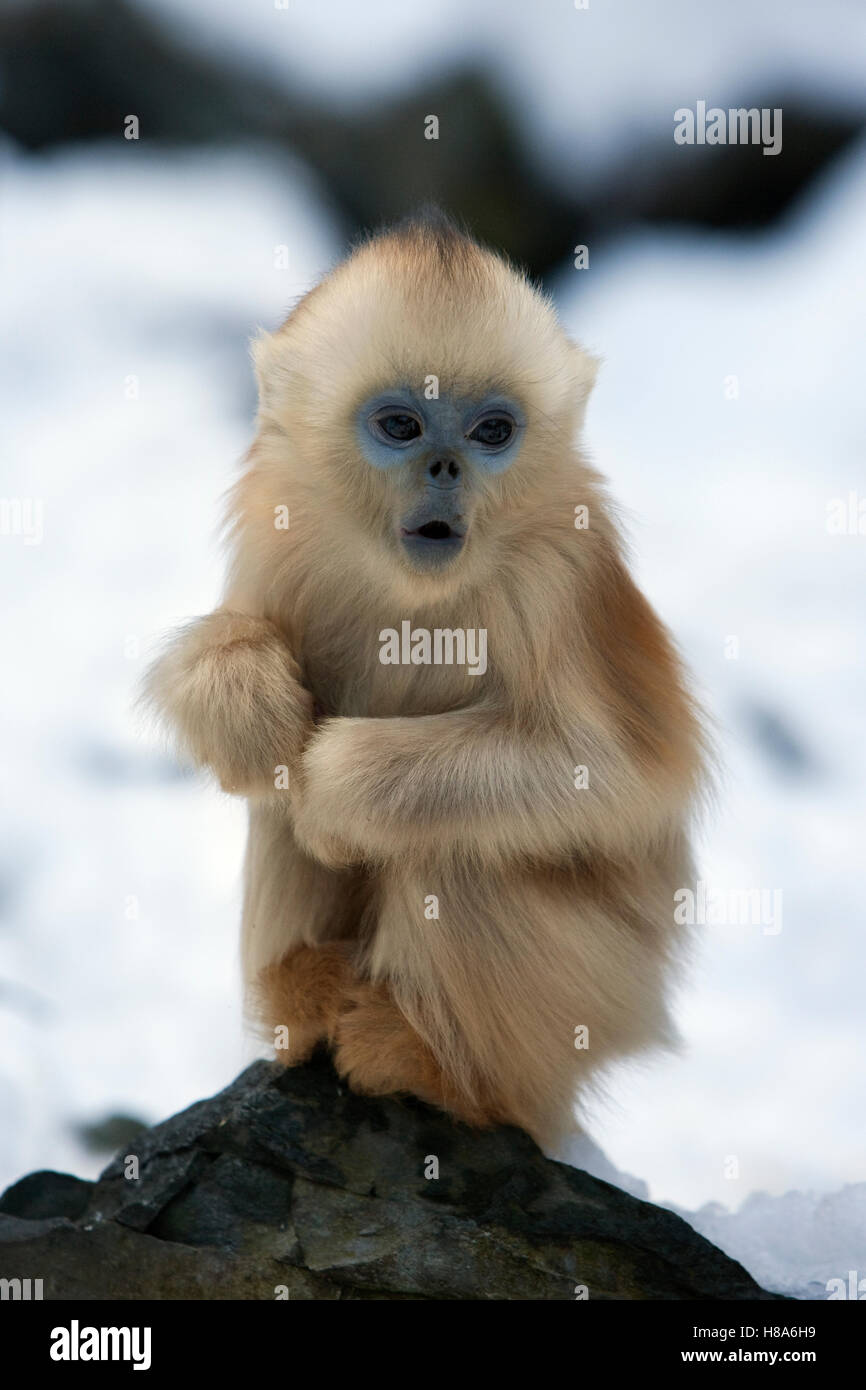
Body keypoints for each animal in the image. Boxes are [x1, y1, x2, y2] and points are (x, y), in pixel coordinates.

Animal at [142, 213, 706, 1149]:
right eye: (403, 425)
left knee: (448, 842)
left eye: (491, 433)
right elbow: (250, 701)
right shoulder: (278, 524)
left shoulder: (560, 570)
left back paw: (435, 1064)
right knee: (280, 794)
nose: (446, 469)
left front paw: (337, 784)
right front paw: (242, 700)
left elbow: (620, 777)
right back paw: (307, 993)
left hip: (604, 994)